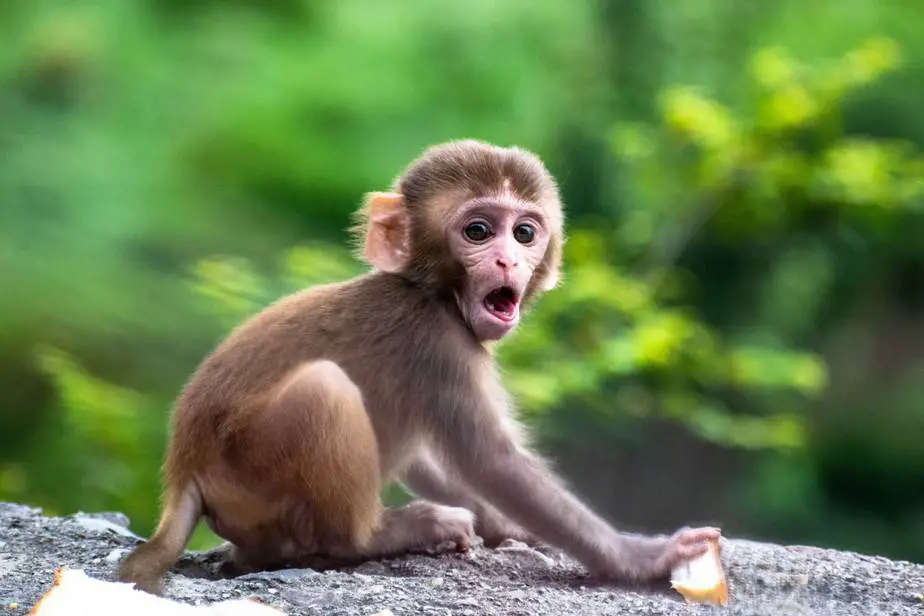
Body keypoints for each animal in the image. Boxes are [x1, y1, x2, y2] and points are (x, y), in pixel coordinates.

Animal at [117, 139, 721, 596]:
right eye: (478, 231)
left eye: (525, 233)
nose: (508, 260)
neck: (431, 292)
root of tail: (185, 471)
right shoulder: (439, 344)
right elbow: (490, 460)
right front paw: (639, 558)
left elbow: (433, 458)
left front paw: (502, 524)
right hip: (251, 467)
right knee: (324, 390)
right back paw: (379, 536)